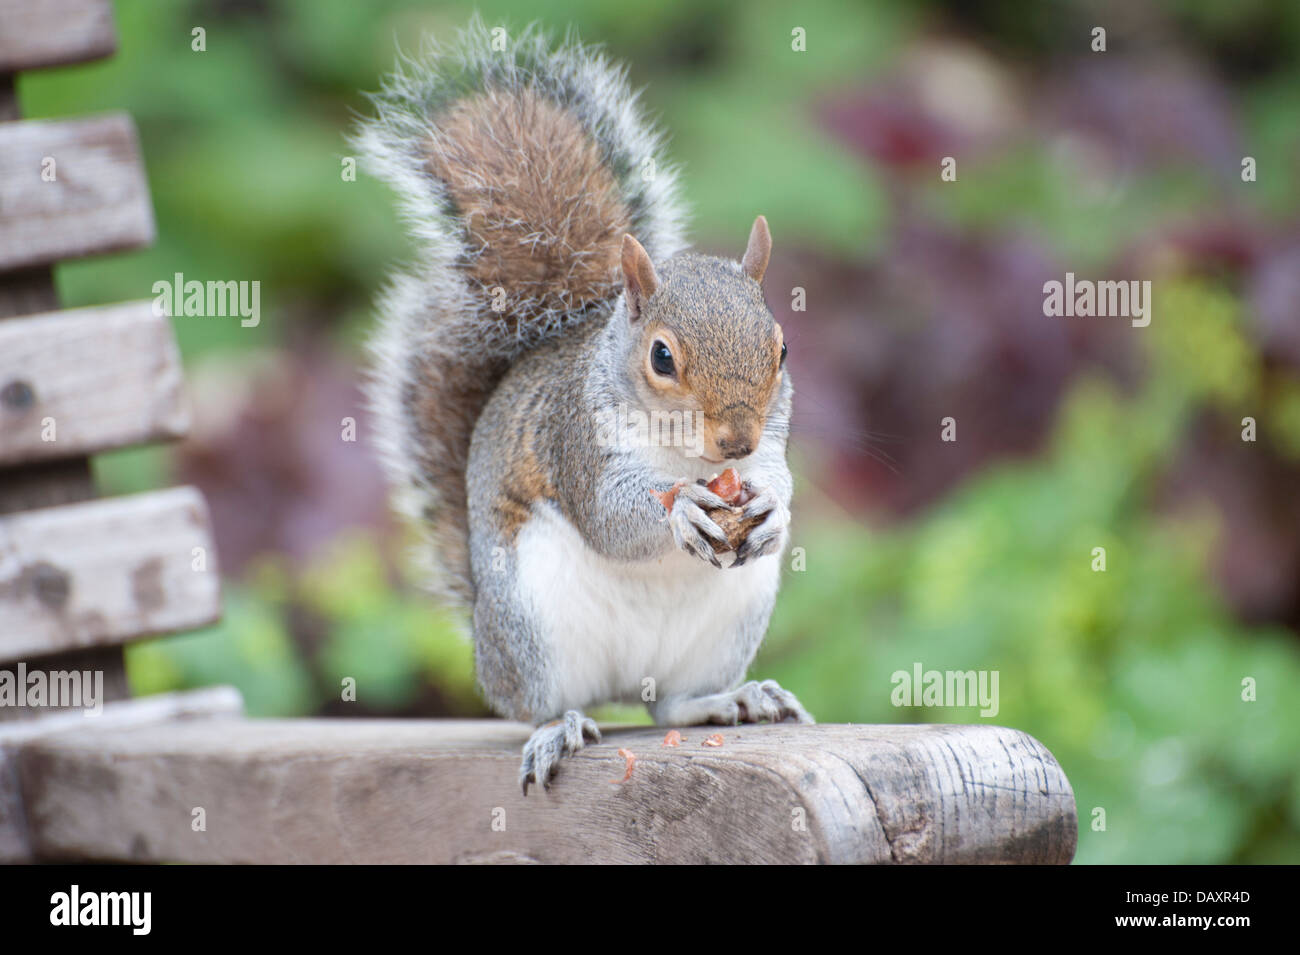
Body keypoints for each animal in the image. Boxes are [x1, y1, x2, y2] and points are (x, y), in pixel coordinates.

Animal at [356, 18, 813, 794]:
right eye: (662, 357)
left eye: (781, 349)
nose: (736, 441)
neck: (680, 452)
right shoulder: (577, 440)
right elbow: (609, 517)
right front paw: (681, 510)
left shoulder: (770, 444)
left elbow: (776, 480)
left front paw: (773, 509)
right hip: (531, 628)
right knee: (543, 703)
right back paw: (558, 729)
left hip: (728, 623)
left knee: (674, 705)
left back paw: (735, 698)